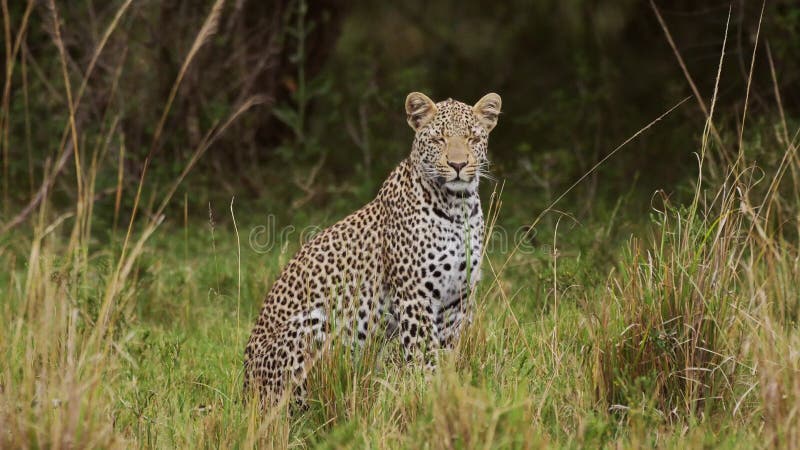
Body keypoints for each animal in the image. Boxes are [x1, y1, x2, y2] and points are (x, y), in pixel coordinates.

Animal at [243, 92, 502, 407]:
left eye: (472, 138)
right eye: (438, 139)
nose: (457, 164)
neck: (458, 207)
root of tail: (244, 389)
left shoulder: (458, 298)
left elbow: (447, 352)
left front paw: (447, 391)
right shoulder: (415, 296)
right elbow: (422, 353)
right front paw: (427, 395)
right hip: (314, 323)